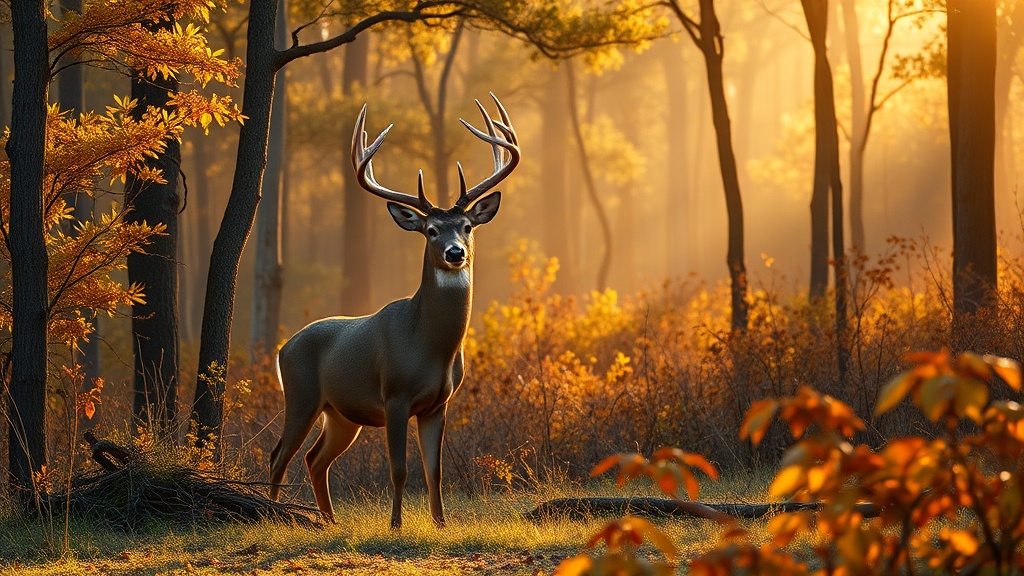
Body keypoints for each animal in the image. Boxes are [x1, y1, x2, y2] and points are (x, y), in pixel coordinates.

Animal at [268, 95, 519, 530]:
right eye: (431, 230)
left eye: (467, 226)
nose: (456, 253)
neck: (428, 346)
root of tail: (284, 347)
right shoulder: (395, 395)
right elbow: (399, 468)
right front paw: (396, 524)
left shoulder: (438, 403)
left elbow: (434, 470)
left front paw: (440, 524)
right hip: (301, 395)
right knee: (279, 455)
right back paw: (272, 515)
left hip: (341, 414)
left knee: (315, 459)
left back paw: (330, 520)